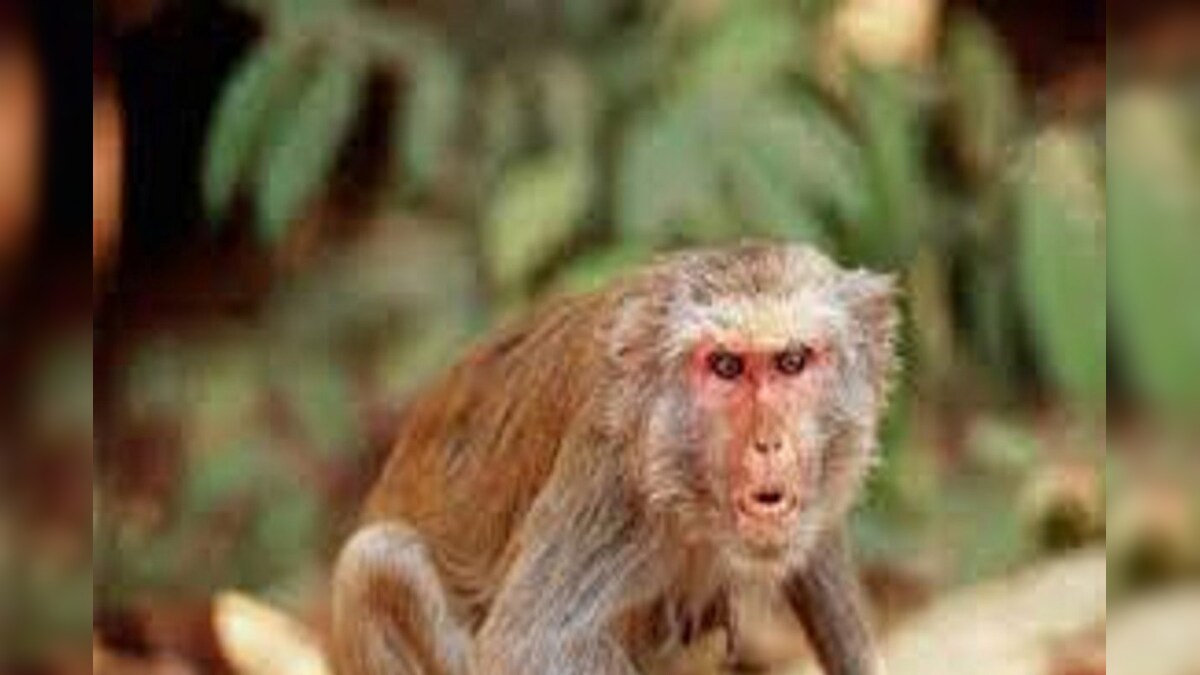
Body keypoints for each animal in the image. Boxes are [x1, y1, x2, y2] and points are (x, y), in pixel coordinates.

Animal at [332, 241, 898, 675]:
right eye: (725, 366)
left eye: (792, 361)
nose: (769, 442)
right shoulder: (613, 482)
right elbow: (528, 645)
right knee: (378, 560)